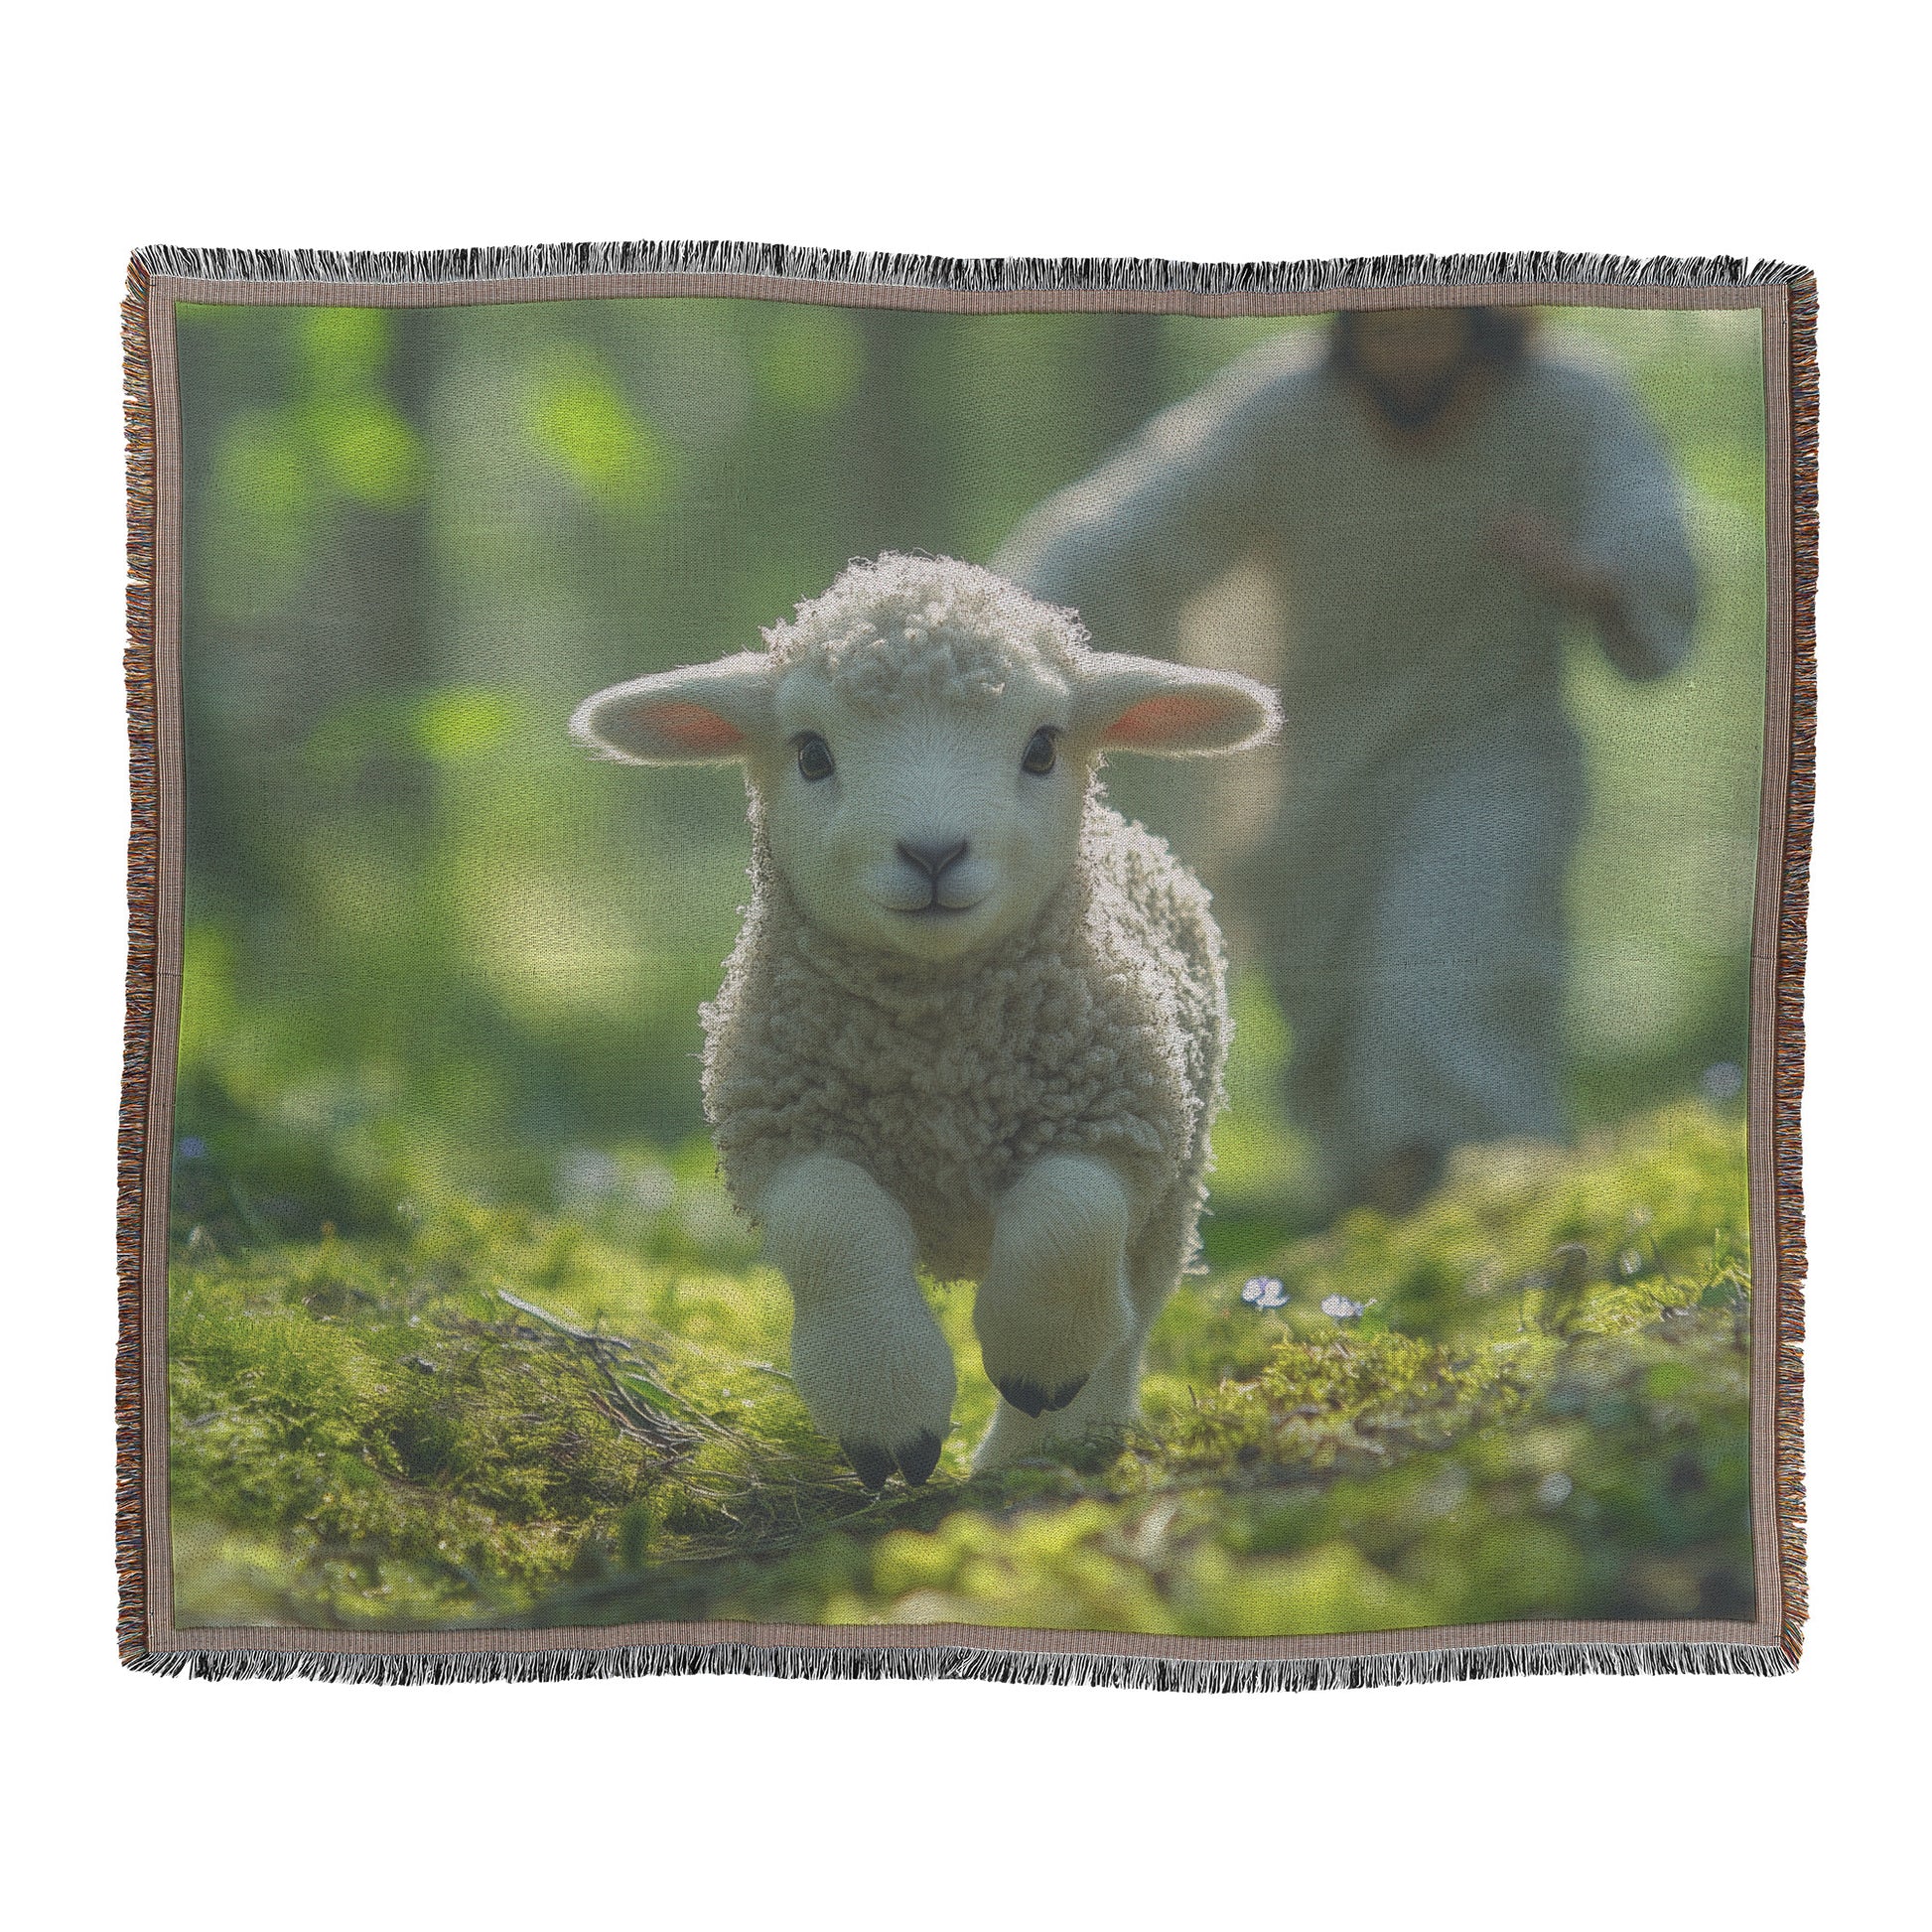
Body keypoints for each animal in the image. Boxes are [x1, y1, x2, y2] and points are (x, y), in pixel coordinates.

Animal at [572, 554, 1279, 1487]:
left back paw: (1048, 1449)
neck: (941, 1052)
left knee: (1131, 1316)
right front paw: (886, 1410)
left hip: (1179, 1184)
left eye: (1042, 747)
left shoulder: (1122, 1113)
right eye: (811, 753)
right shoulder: (785, 1131)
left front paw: (1038, 1359)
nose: (933, 852)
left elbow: (1070, 1217)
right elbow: (835, 1229)